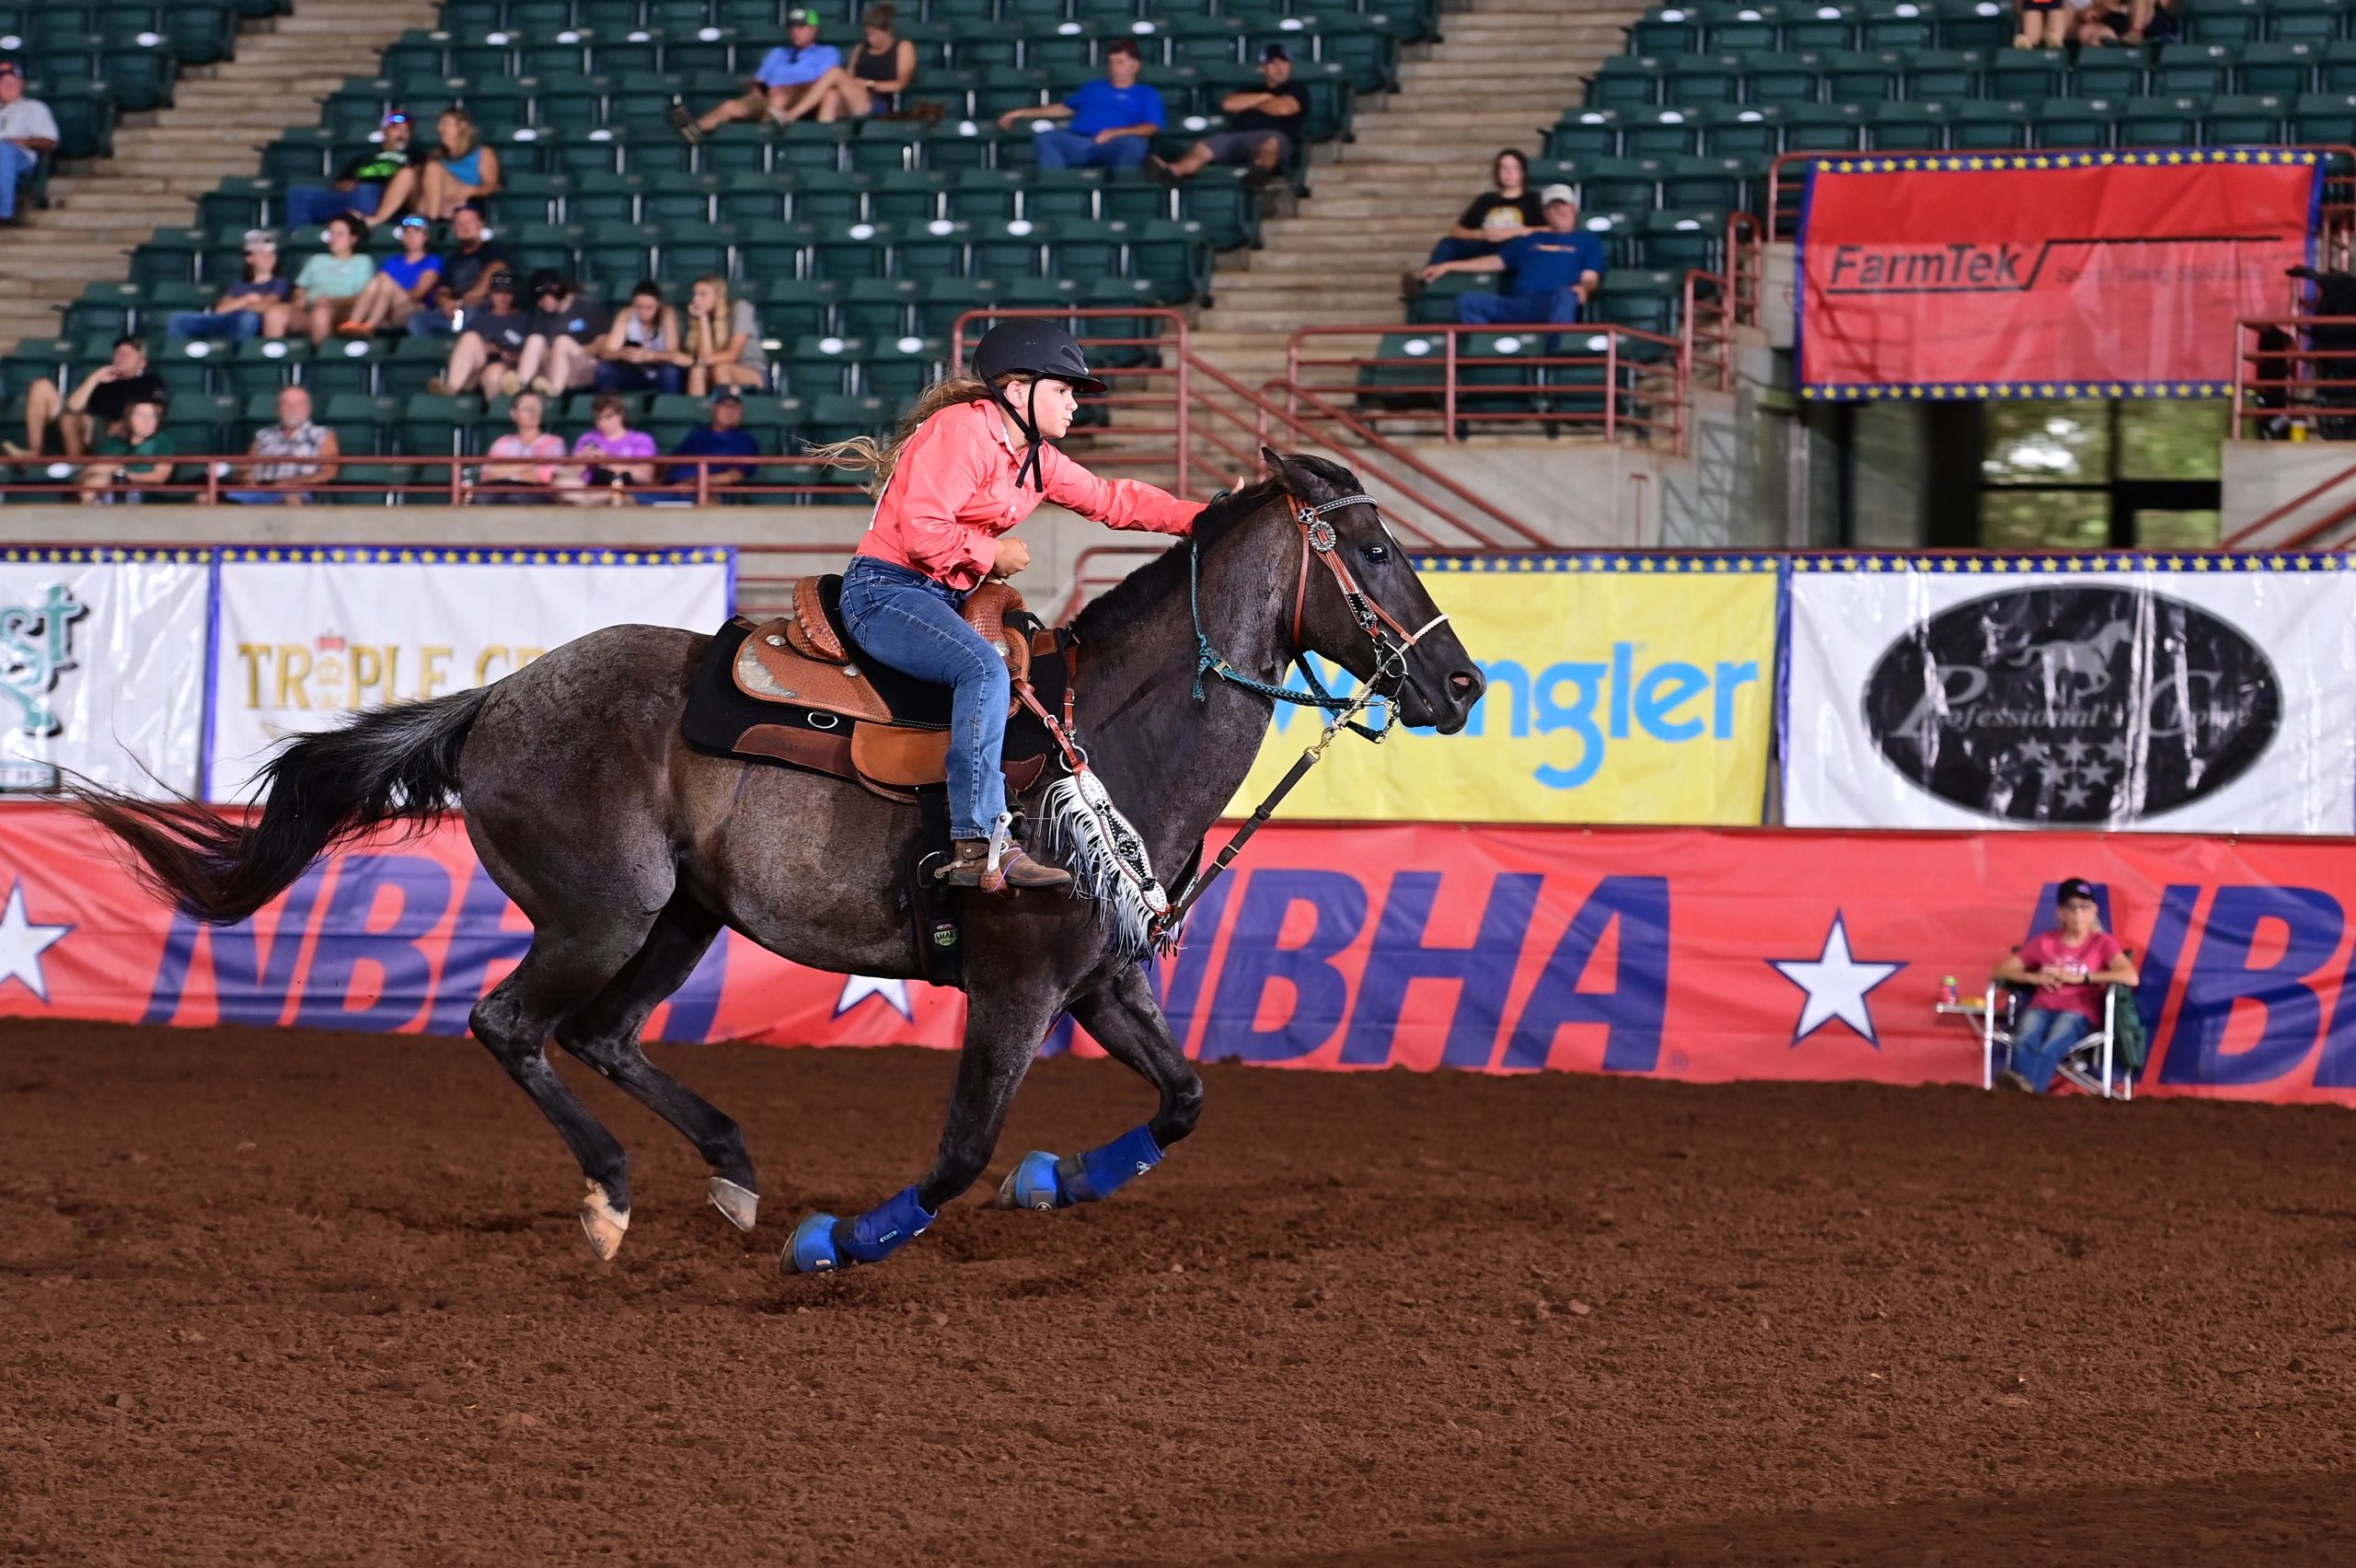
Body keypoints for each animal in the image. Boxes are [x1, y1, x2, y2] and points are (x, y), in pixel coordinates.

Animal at [69, 450, 1485, 1272]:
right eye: (1371, 550)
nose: (1465, 685)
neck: (1102, 743)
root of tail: (496, 699)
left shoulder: (1102, 983)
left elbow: (1183, 1101)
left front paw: (1058, 1183)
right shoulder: (1018, 990)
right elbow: (959, 1148)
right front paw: (843, 1239)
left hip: (682, 919)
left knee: (605, 1034)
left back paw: (736, 1177)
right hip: (599, 913)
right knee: (511, 1024)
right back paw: (616, 1198)